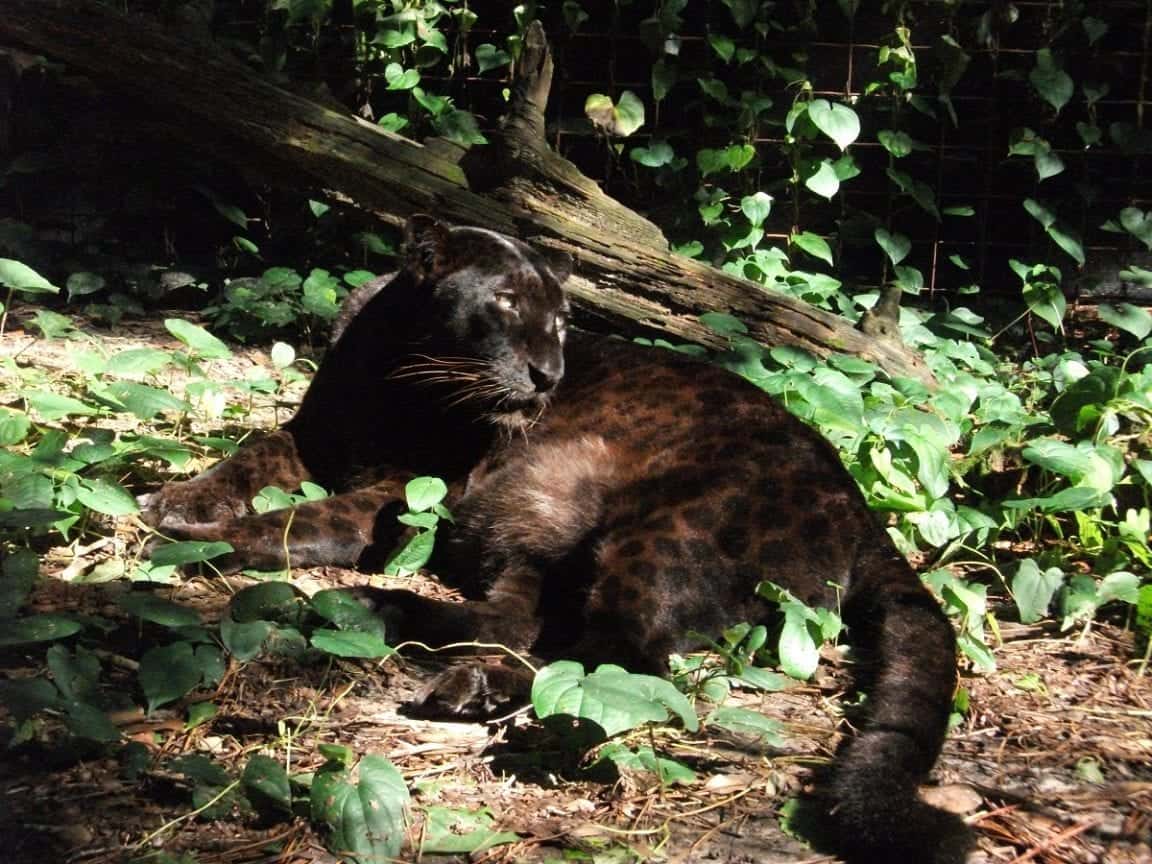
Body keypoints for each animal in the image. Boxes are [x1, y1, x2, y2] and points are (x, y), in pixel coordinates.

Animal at [143, 215, 963, 863]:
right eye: (505, 302)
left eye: (565, 319)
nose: (549, 373)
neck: (389, 374)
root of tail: (863, 517)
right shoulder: (309, 435)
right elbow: (250, 454)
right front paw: (177, 501)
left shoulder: (402, 494)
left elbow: (300, 519)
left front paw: (208, 543)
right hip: (526, 515)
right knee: (516, 619)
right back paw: (392, 620)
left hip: (659, 528)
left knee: (623, 656)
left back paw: (486, 693)